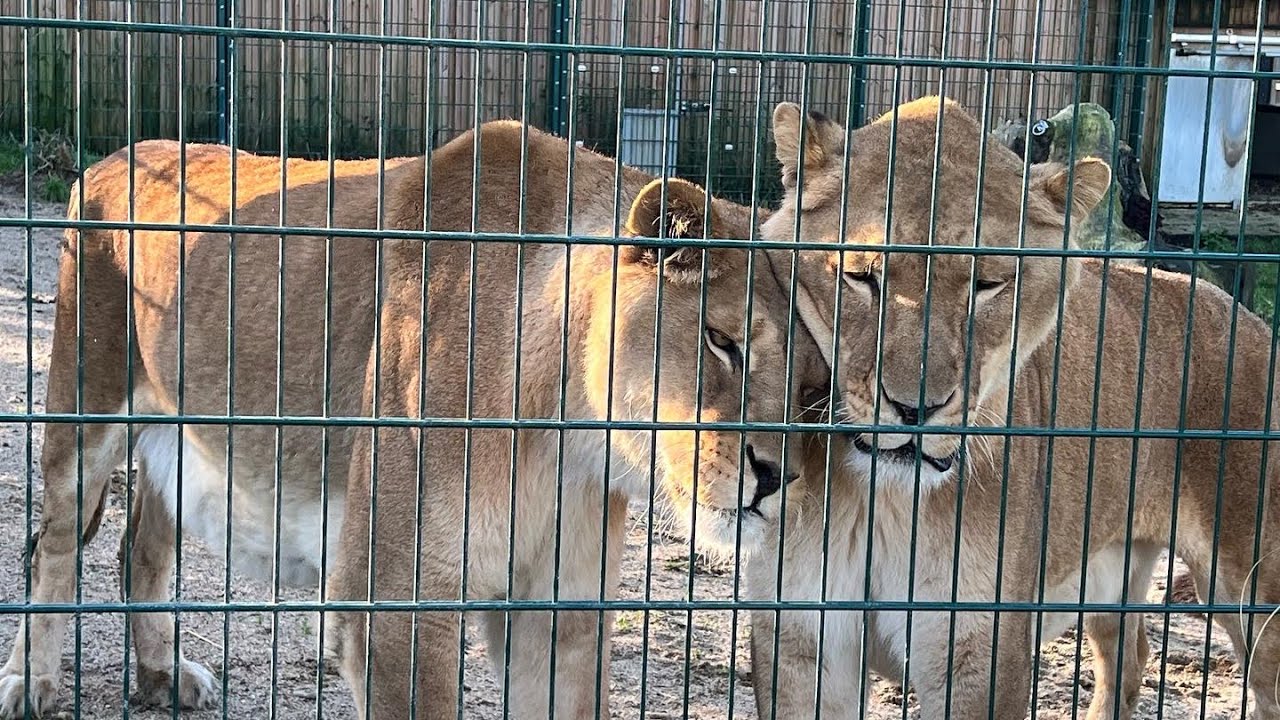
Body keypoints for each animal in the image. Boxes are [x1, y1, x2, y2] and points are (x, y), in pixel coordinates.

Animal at [0, 126, 827, 719]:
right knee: (52, 548)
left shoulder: (557, 611)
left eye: (813, 390)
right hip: (84, 412)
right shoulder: (393, 605)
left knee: (137, 546)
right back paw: (30, 684)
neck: (564, 432)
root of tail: (115, 156)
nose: (774, 477)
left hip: (186, 433)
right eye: (723, 341)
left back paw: (161, 673)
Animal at [749, 96, 1280, 720]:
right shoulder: (801, 640)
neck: (886, 502)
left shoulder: (978, 652)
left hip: (1254, 592)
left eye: (988, 285)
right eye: (861, 276)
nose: (914, 409)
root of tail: (1252, 320)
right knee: (1129, 654)